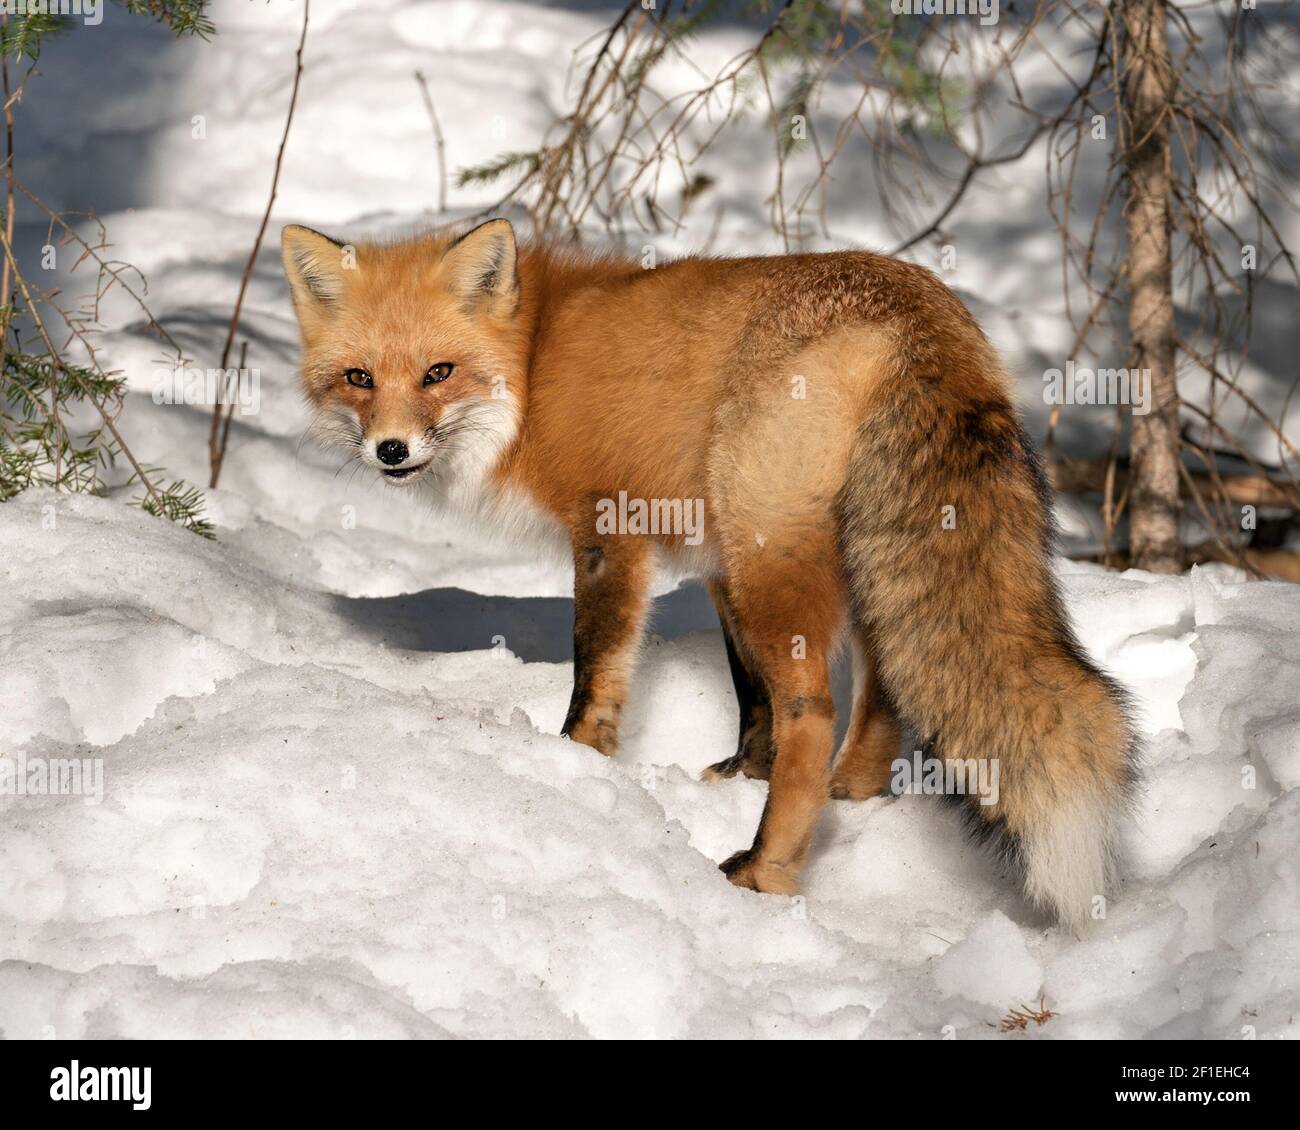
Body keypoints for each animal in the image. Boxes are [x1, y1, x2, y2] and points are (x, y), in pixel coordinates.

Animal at [281, 217, 1137, 932]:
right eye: (359, 378)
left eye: (438, 372)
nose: (390, 450)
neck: (533, 364)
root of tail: (915, 307)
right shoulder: (711, 555)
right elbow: (747, 690)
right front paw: (738, 778)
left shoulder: (611, 529)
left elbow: (598, 670)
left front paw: (577, 761)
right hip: (840, 553)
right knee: (883, 686)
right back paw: (852, 803)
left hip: (774, 551)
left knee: (816, 713)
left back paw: (767, 869)